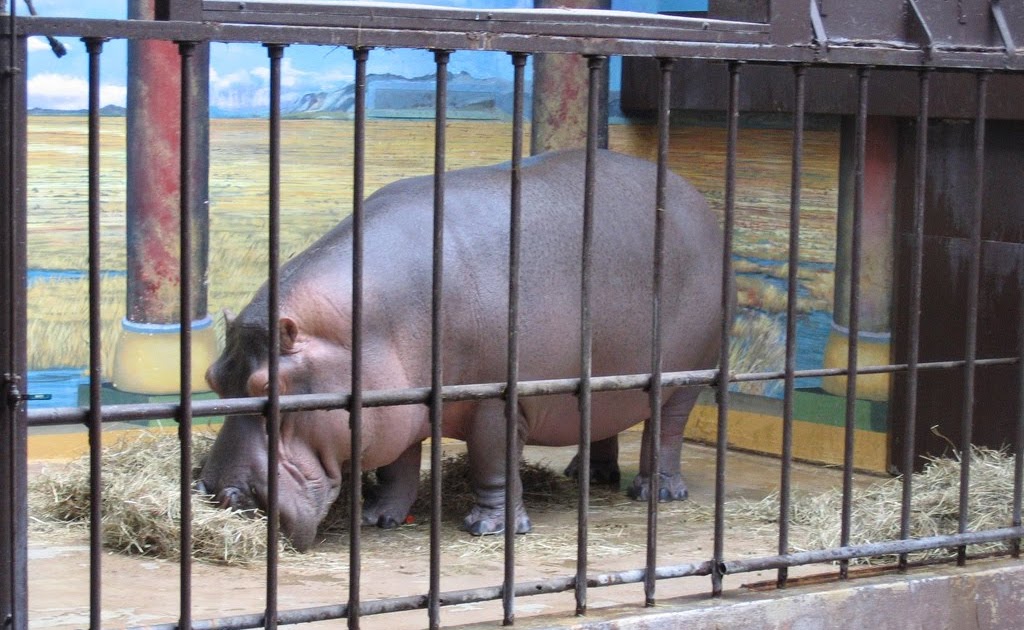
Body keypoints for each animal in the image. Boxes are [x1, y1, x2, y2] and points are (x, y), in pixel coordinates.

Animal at [199, 148, 726, 551]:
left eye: (271, 387)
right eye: (212, 379)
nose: (219, 495)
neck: (361, 330)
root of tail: (693, 198)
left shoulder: (497, 404)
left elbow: (491, 462)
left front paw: (489, 529)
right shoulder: (397, 405)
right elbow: (397, 466)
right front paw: (378, 517)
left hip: (687, 374)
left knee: (666, 430)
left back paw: (657, 492)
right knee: (603, 420)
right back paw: (589, 477)